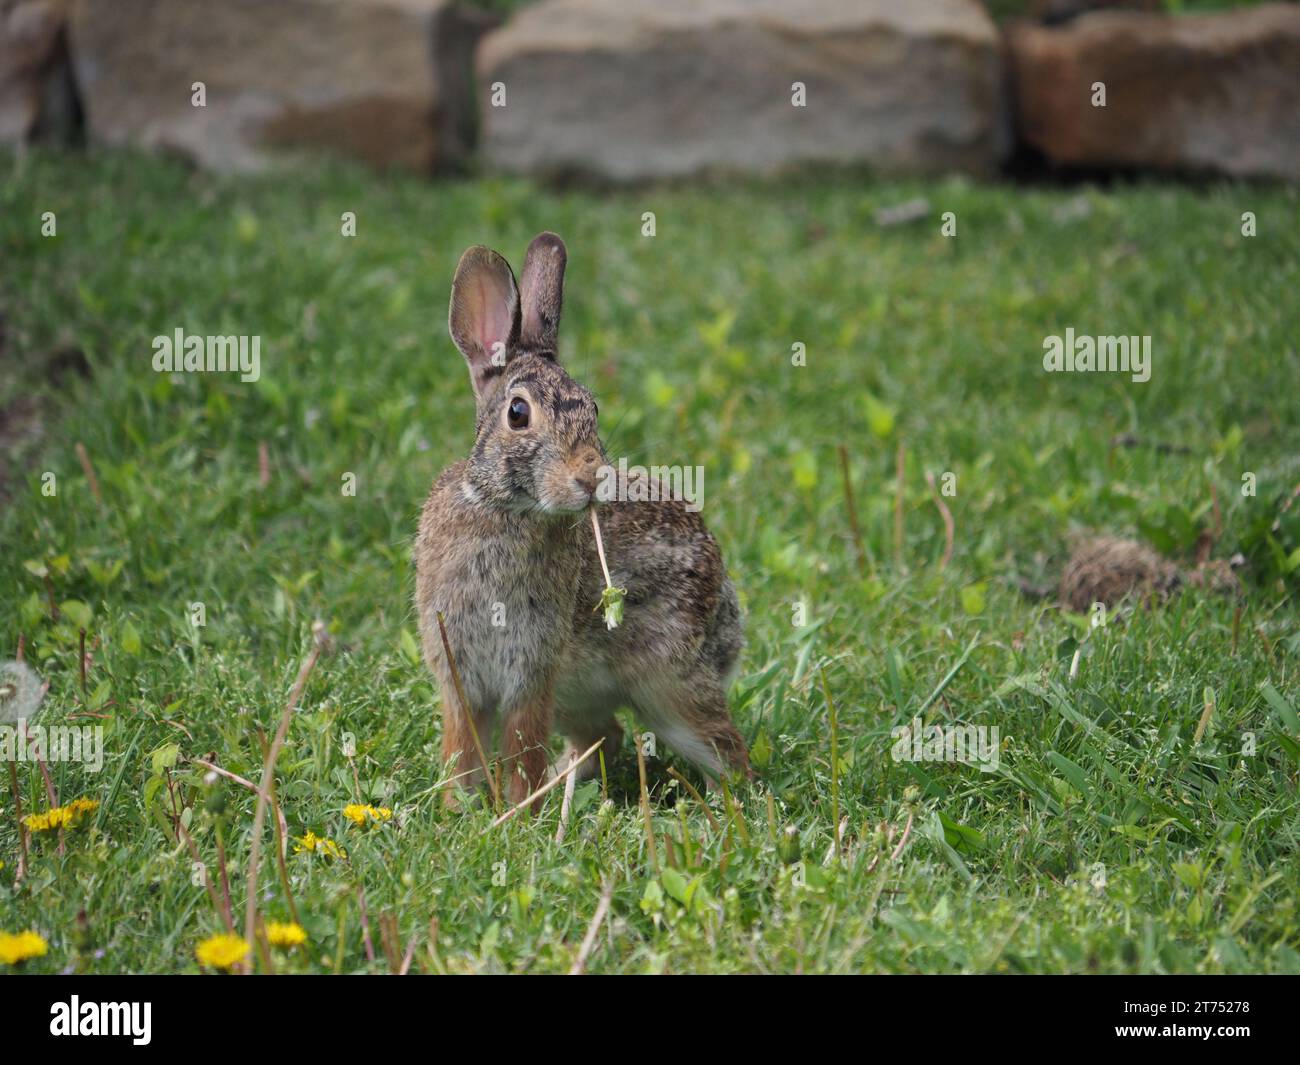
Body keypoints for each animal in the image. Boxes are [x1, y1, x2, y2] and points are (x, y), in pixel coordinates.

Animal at [415, 232, 749, 809]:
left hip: (667, 688)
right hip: (579, 696)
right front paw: (461, 808)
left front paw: (519, 811)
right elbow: (463, 752)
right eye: (518, 414)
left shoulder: (530, 672)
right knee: (606, 736)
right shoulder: (459, 675)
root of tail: (724, 608)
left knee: (728, 751)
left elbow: (520, 748)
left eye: (593, 409)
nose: (591, 477)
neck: (502, 509)